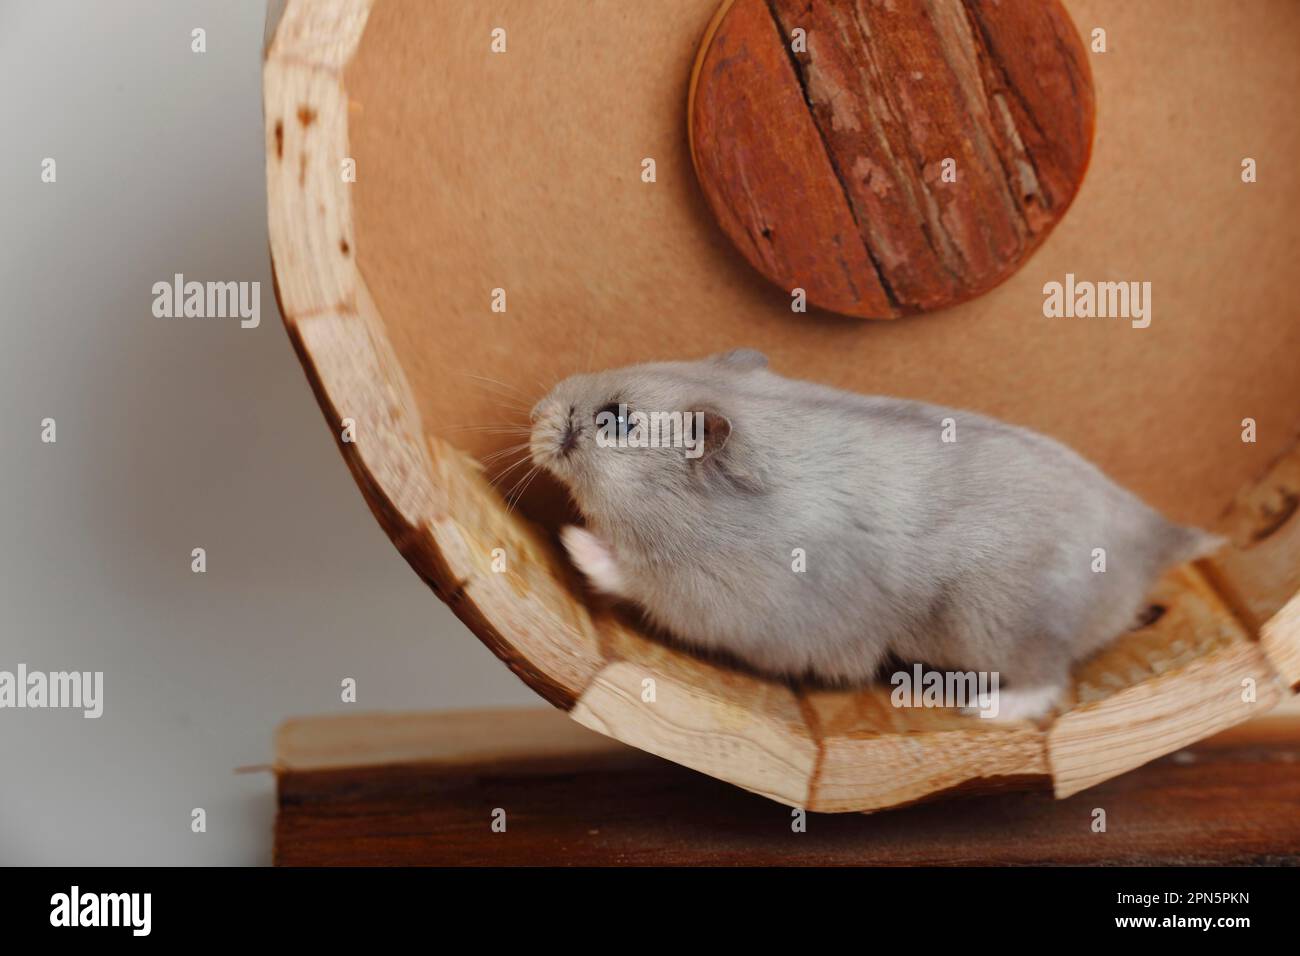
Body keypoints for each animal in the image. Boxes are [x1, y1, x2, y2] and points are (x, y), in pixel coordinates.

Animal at [528, 349, 1223, 721]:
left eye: (614, 419)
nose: (535, 413)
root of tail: (1157, 537)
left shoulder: (716, 601)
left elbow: (634, 577)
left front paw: (570, 538)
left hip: (993, 620)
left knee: (1048, 676)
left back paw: (984, 711)